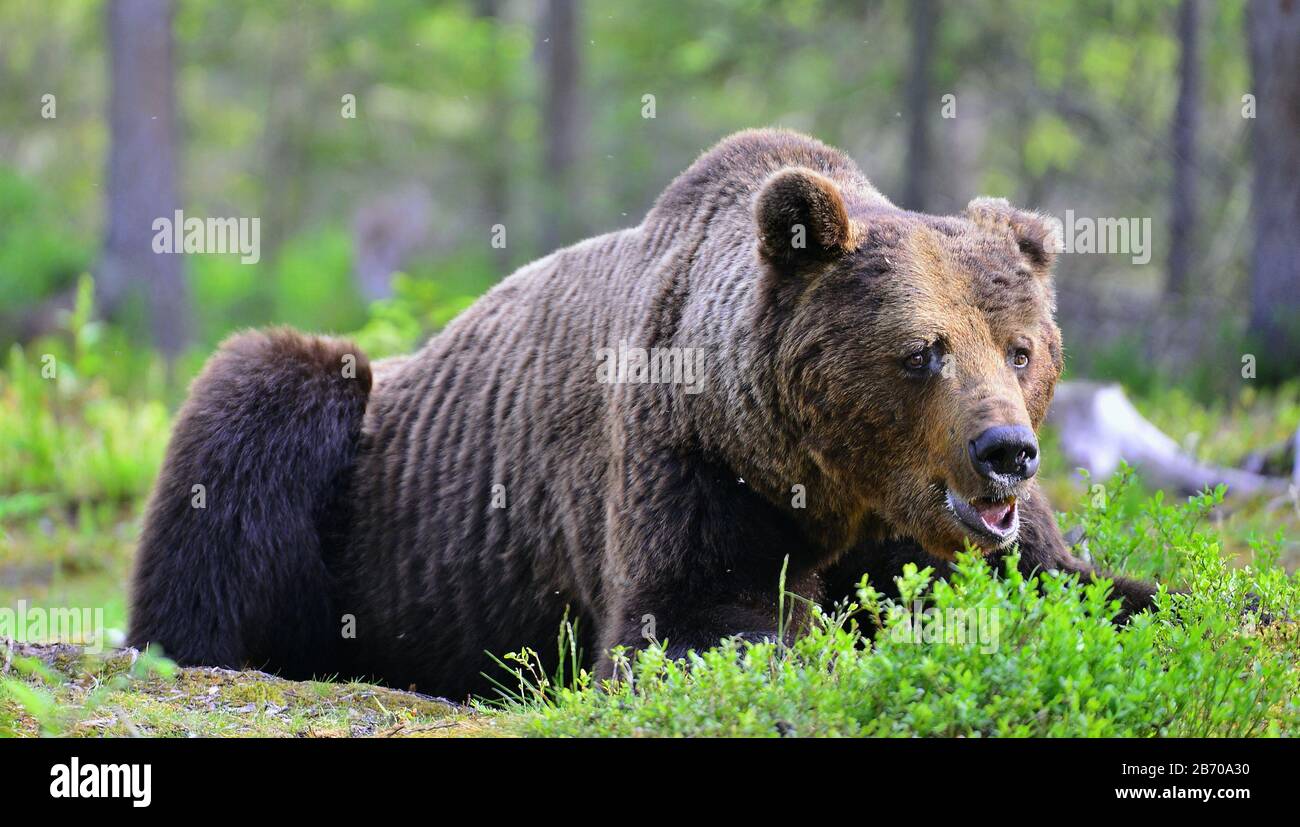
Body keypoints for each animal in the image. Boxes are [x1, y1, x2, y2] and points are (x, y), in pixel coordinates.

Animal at [128, 128, 1159, 698]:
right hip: (353, 463)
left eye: (1021, 348)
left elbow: (1078, 583)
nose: (1006, 451)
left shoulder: (936, 530)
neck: (838, 483)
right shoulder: (692, 461)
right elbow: (693, 624)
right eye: (923, 351)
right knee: (248, 430)